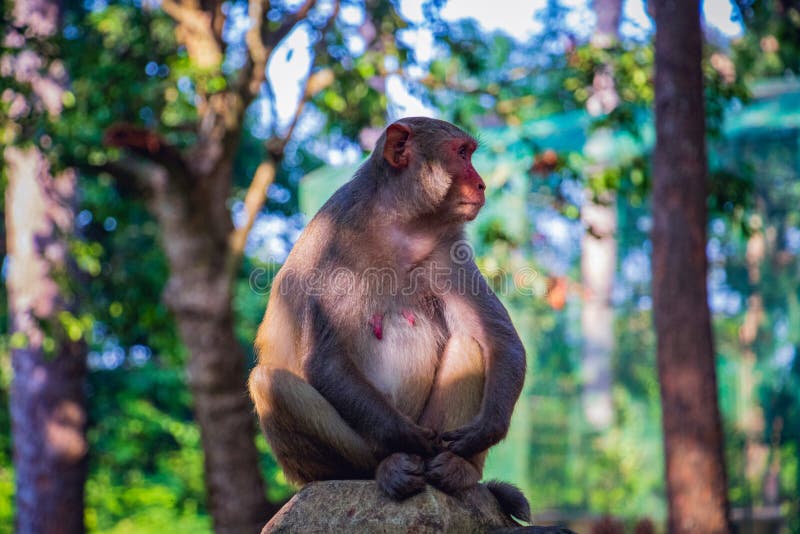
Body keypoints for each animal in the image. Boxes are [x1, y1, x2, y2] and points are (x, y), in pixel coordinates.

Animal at [249, 117, 529, 521]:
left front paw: (487, 429)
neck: (398, 224)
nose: (481, 184)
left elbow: (497, 338)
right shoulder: (333, 245)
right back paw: (383, 468)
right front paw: (407, 436)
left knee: (470, 344)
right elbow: (326, 360)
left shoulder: (448, 248)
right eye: (462, 154)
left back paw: (459, 471)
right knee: (269, 382)